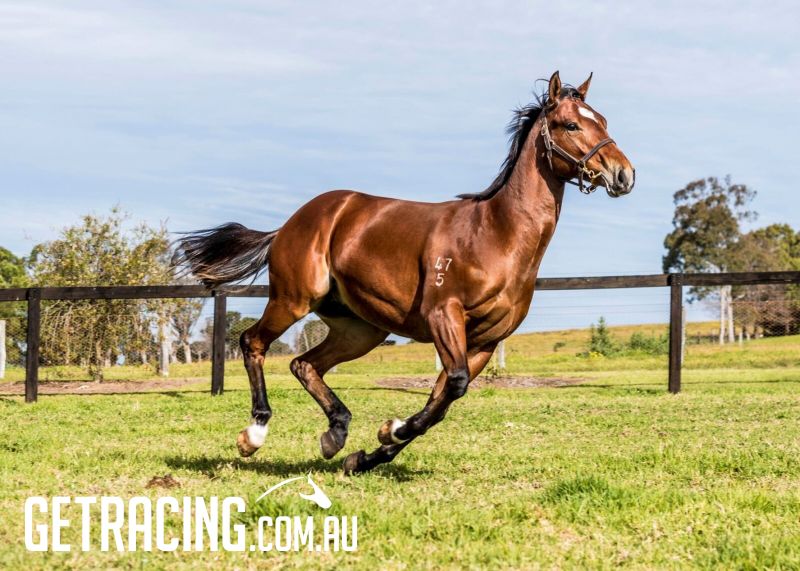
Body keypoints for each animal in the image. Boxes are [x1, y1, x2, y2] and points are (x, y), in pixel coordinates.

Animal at [175, 71, 635, 474]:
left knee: (304, 364)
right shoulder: (443, 316)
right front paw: (389, 431)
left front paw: (369, 453)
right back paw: (254, 434)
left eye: (603, 120)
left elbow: (441, 402)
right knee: (253, 342)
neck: (495, 234)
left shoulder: (485, 342)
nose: (624, 174)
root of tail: (293, 222)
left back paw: (335, 434)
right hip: (293, 299)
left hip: (360, 329)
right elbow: (453, 387)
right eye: (570, 124)